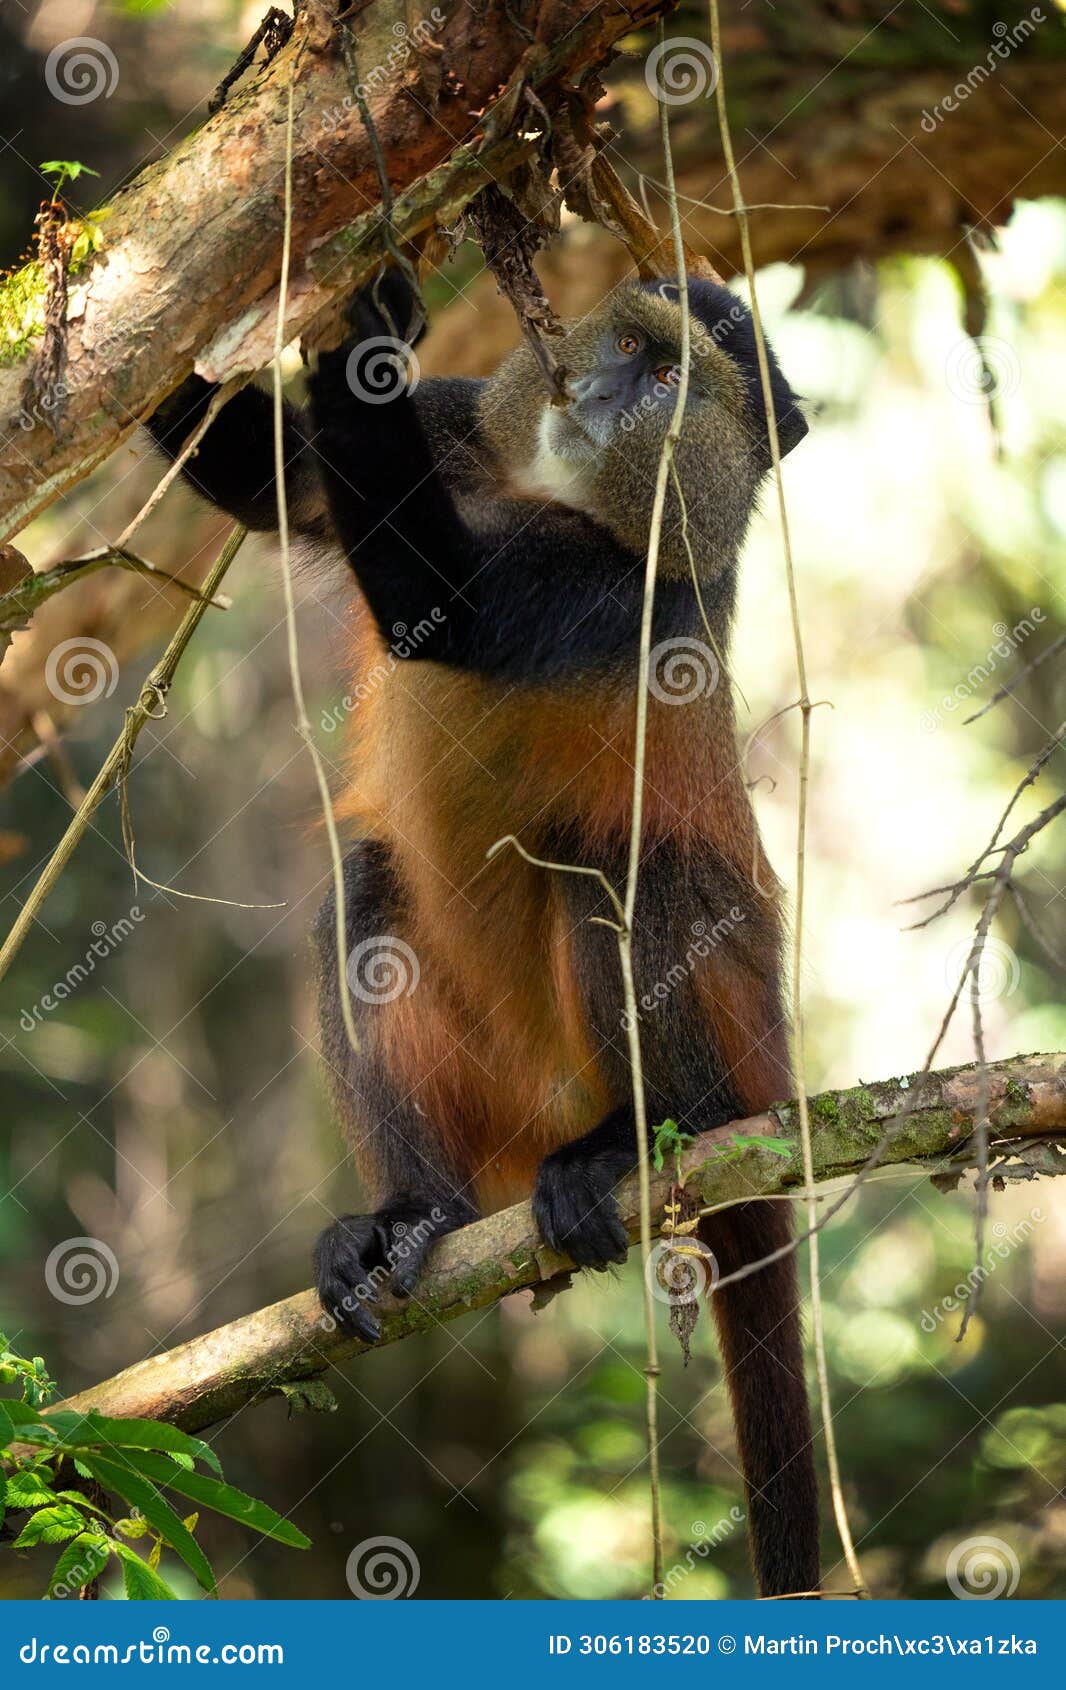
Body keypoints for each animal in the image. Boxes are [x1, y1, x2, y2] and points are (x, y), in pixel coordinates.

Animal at [146, 268, 818, 1598]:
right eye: (621, 341)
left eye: (671, 379)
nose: (590, 391)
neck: (547, 492)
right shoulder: (459, 426)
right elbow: (258, 471)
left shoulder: (619, 586)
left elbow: (441, 605)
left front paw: (366, 323)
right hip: (490, 1093)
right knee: (362, 892)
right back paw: (414, 1217)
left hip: (722, 1034)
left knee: (620, 874)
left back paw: (632, 1140)